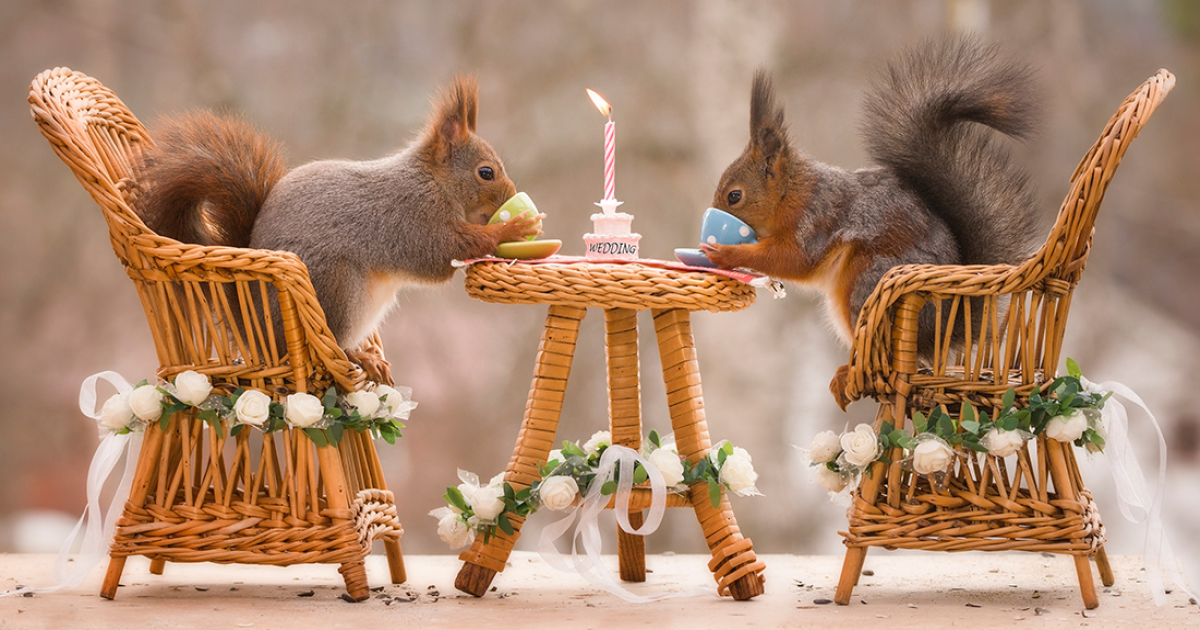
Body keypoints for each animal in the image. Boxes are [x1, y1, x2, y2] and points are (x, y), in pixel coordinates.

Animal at [133, 76, 541, 382]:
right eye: (485, 172)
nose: (511, 196)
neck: (433, 182)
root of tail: (262, 335)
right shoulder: (409, 217)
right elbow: (439, 251)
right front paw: (510, 229)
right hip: (337, 288)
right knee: (329, 348)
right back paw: (358, 357)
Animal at [701, 37, 1041, 407]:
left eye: (735, 196)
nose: (711, 214)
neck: (793, 193)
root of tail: (943, 327)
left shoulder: (816, 221)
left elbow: (792, 260)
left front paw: (725, 253)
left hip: (865, 284)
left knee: (897, 361)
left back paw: (852, 374)